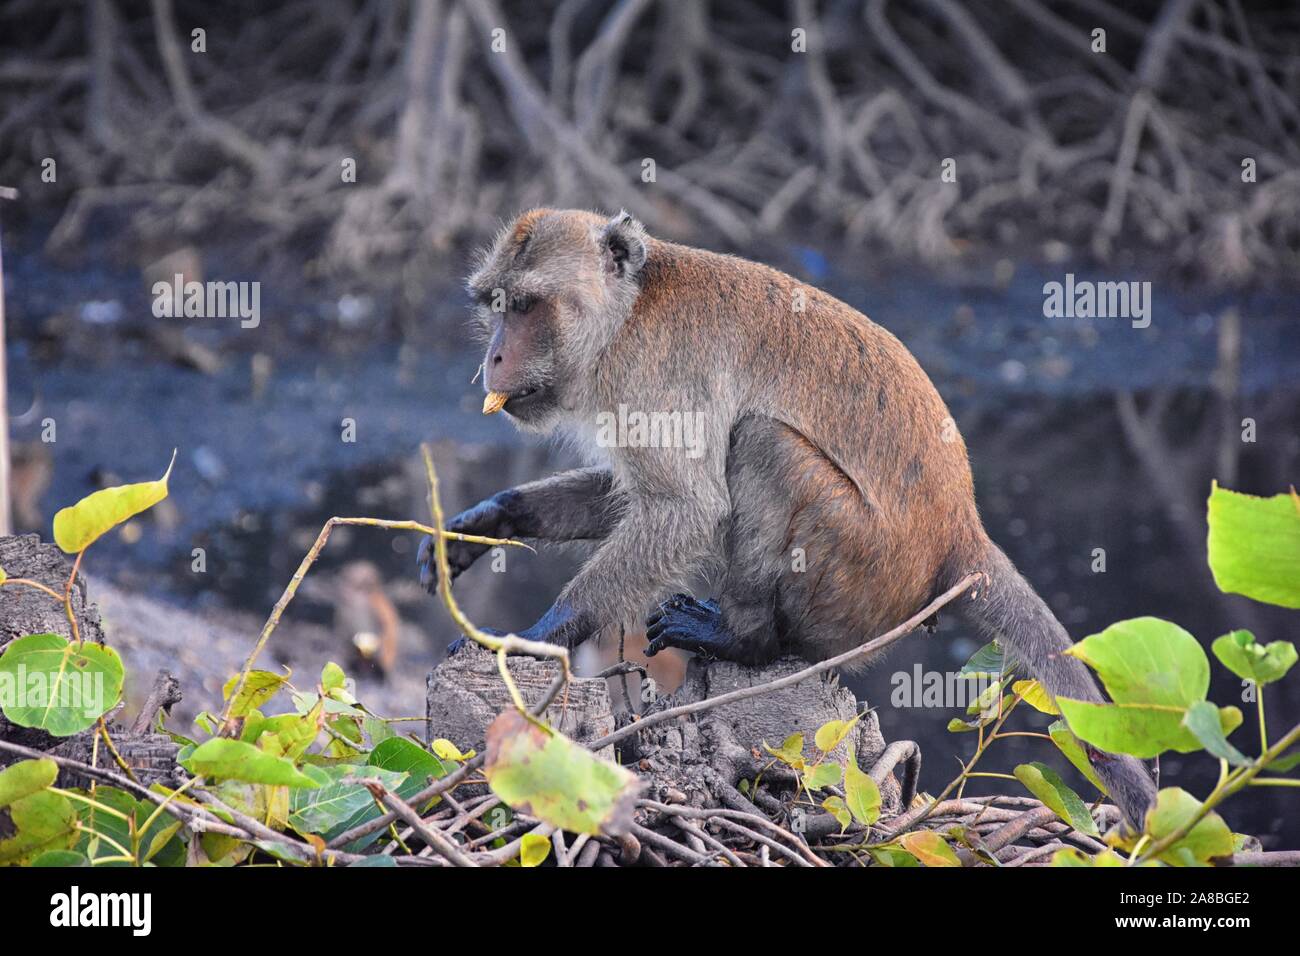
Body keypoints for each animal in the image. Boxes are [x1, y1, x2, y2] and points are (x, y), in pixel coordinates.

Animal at [417, 208, 1158, 829]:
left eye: (528, 306)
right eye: (496, 307)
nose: (493, 357)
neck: (626, 316)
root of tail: (960, 528)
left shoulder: (650, 374)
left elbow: (689, 506)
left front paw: (534, 634)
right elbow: (637, 496)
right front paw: (485, 523)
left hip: (858, 579)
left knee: (760, 444)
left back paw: (742, 639)